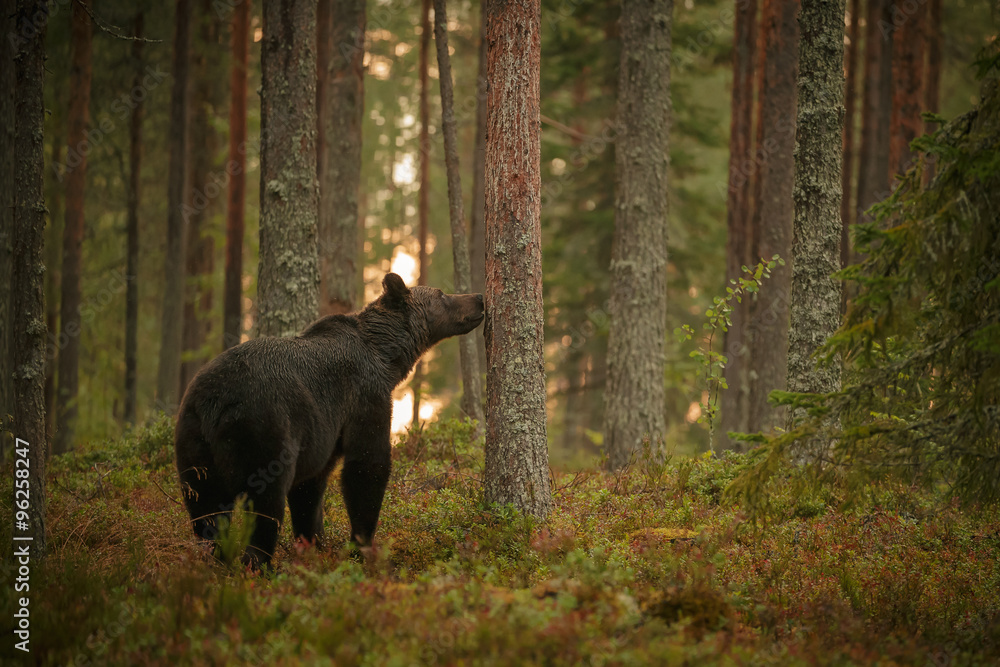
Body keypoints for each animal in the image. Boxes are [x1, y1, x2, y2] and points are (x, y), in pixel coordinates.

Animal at [174, 273, 485, 568]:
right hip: (262, 429)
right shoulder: (364, 397)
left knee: (205, 509)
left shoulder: (321, 434)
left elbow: (310, 488)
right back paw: (259, 565)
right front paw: (361, 544)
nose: (479, 298)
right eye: (442, 295)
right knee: (265, 506)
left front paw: (313, 544)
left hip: (193, 442)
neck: (386, 358)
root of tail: (216, 403)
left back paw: (216, 559)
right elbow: (367, 465)